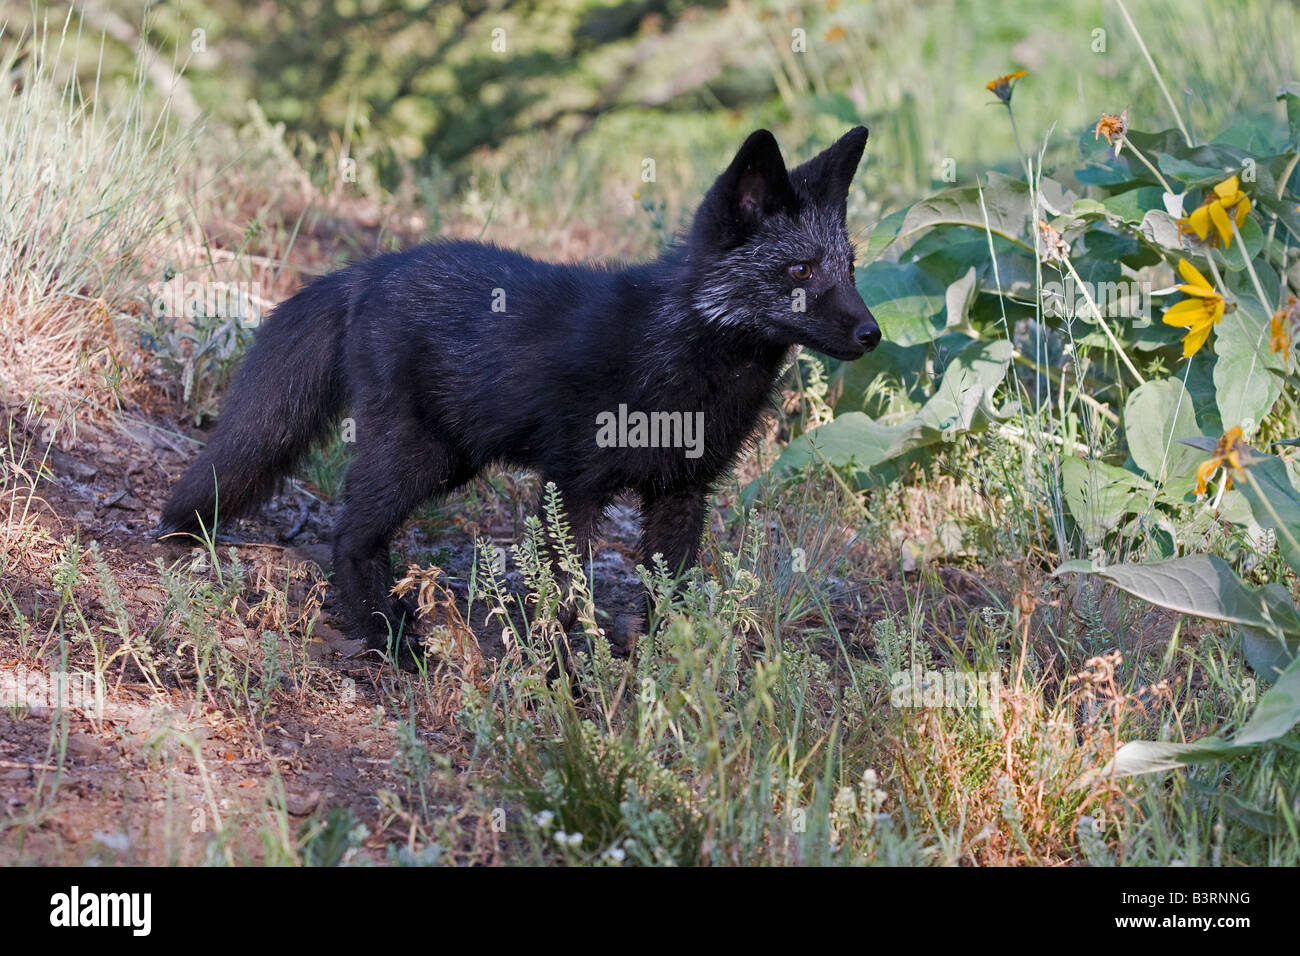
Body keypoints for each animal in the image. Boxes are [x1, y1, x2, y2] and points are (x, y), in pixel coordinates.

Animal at [157, 126, 881, 655]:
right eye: (799, 271)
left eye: (851, 269)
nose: (871, 333)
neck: (679, 362)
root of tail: (371, 269)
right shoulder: (573, 483)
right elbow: (560, 591)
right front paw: (555, 674)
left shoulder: (683, 493)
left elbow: (664, 595)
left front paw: (662, 671)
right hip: (415, 457)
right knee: (350, 533)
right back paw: (387, 638)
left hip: (449, 460)